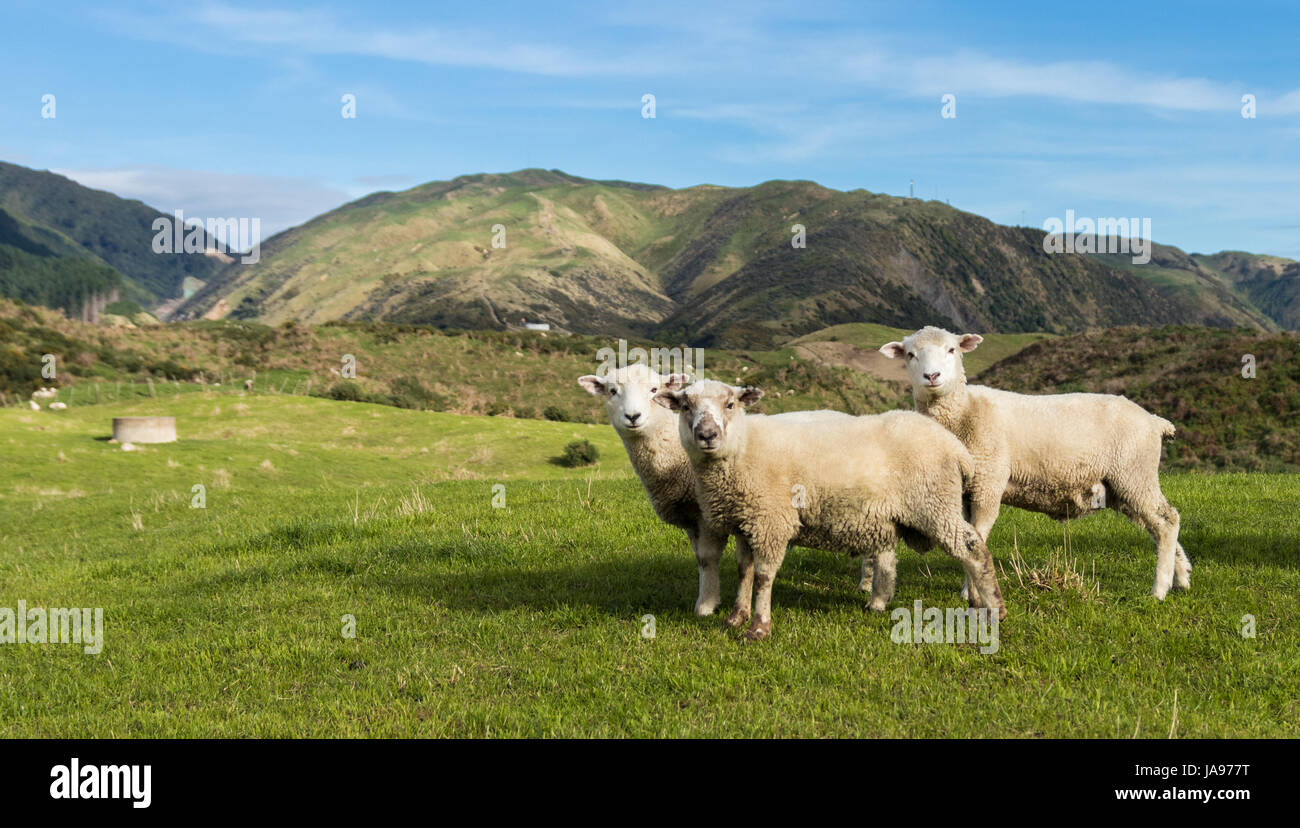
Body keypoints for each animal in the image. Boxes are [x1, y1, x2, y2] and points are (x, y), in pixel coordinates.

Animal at [578, 365, 851, 616]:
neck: (673, 455)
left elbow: (709, 558)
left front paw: (706, 605)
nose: (633, 416)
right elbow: (699, 558)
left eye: (654, 390)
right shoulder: (691, 518)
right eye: (612, 391)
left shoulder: (707, 515)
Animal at [654, 379, 1005, 641]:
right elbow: (745, 571)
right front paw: (735, 617)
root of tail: (957, 449)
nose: (707, 435)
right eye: (685, 406)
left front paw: (759, 627)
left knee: (972, 548)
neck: (742, 448)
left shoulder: (771, 522)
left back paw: (993, 608)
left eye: (730, 404)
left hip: (934, 503)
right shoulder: (745, 522)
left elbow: (764, 576)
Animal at [880, 326, 1189, 599]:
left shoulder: (988, 482)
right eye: (910, 354)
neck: (965, 412)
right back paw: (1182, 578)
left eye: (951, 349)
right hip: (1123, 485)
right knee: (1159, 524)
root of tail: (1153, 420)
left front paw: (971, 592)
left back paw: (1159, 590)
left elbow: (979, 535)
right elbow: (968, 537)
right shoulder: (968, 489)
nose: (932, 376)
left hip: (1134, 474)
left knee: (1166, 522)